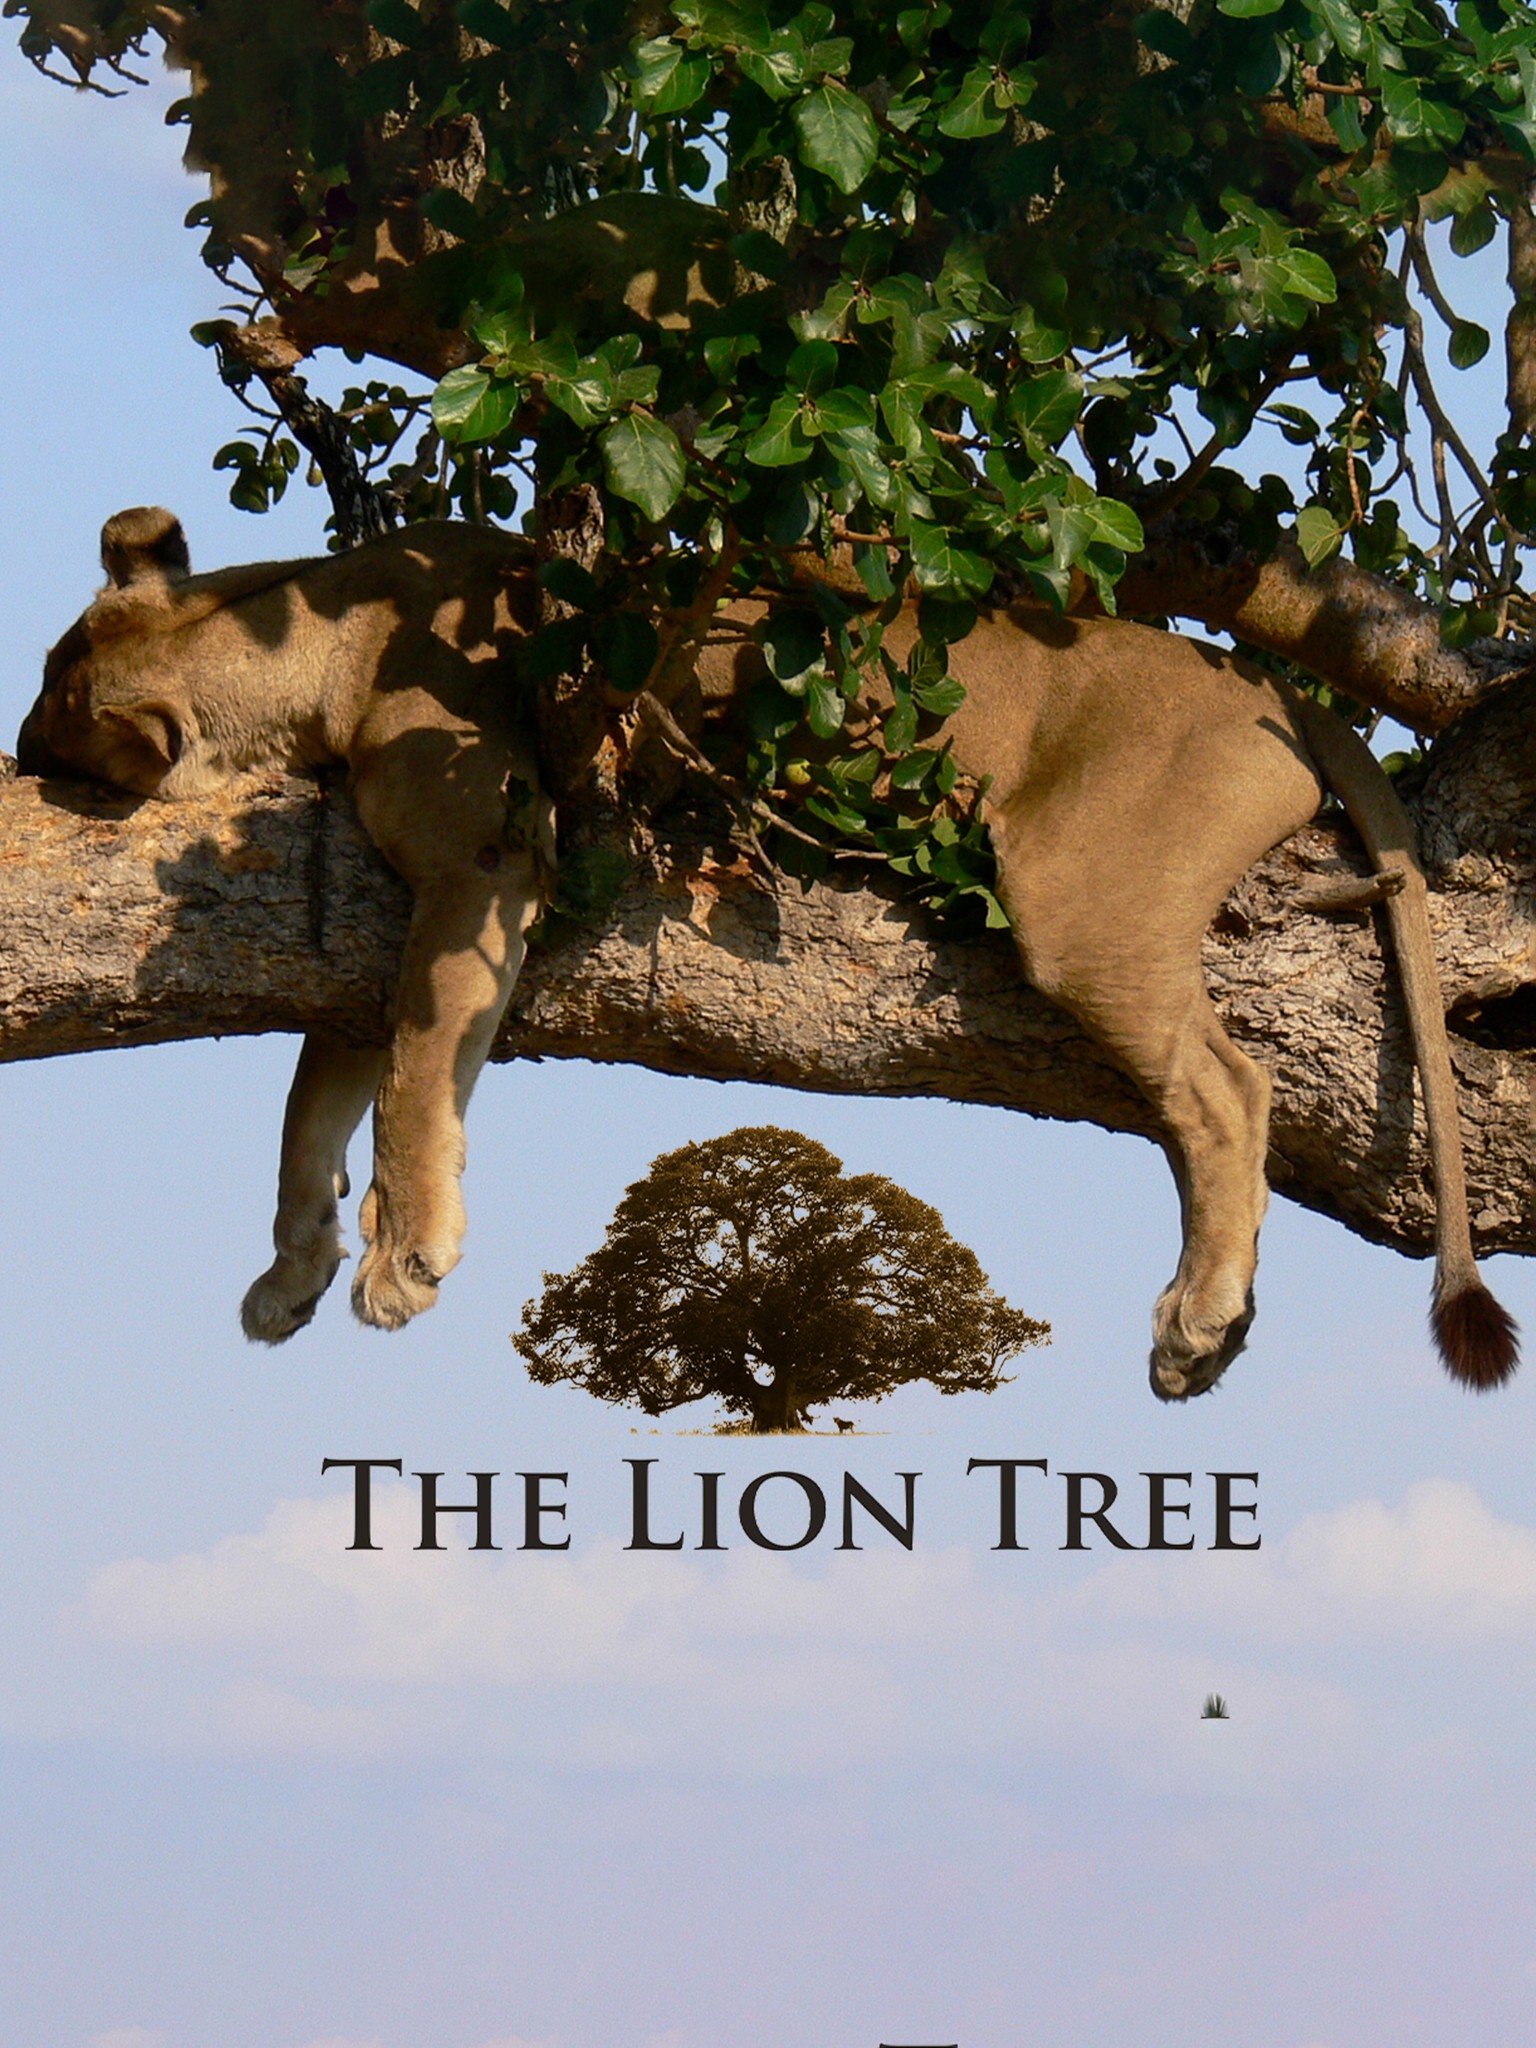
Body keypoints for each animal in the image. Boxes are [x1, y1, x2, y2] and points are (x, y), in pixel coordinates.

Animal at [17, 512, 1518, 1398]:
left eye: (49, 703)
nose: (19, 753)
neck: (320, 623)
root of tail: (1274, 682)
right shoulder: (381, 928)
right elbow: (317, 1101)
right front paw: (291, 1274)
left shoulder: (483, 862)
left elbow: (412, 1075)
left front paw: (405, 1258)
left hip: (1083, 894)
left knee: (1226, 1093)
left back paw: (1198, 1318)